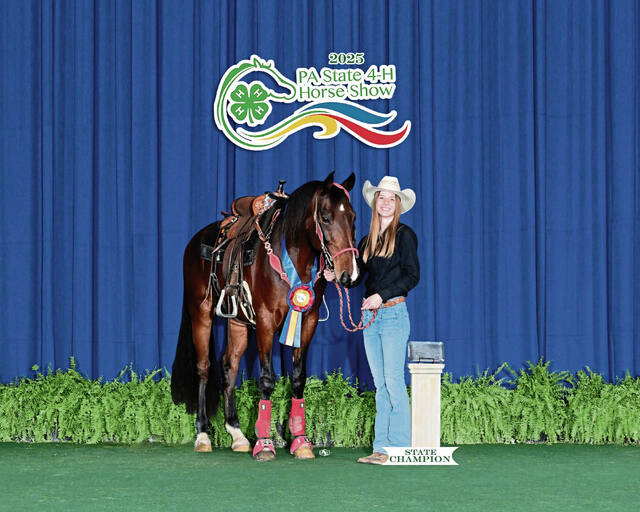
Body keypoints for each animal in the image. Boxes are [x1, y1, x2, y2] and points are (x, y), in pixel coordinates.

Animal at [171, 172, 358, 460]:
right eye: (325, 217)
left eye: (352, 217)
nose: (349, 274)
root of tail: (195, 241)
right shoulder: (266, 323)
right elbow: (267, 380)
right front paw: (265, 443)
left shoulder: (307, 322)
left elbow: (298, 378)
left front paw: (301, 441)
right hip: (200, 314)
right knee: (203, 368)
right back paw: (203, 435)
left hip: (237, 322)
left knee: (229, 366)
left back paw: (237, 434)